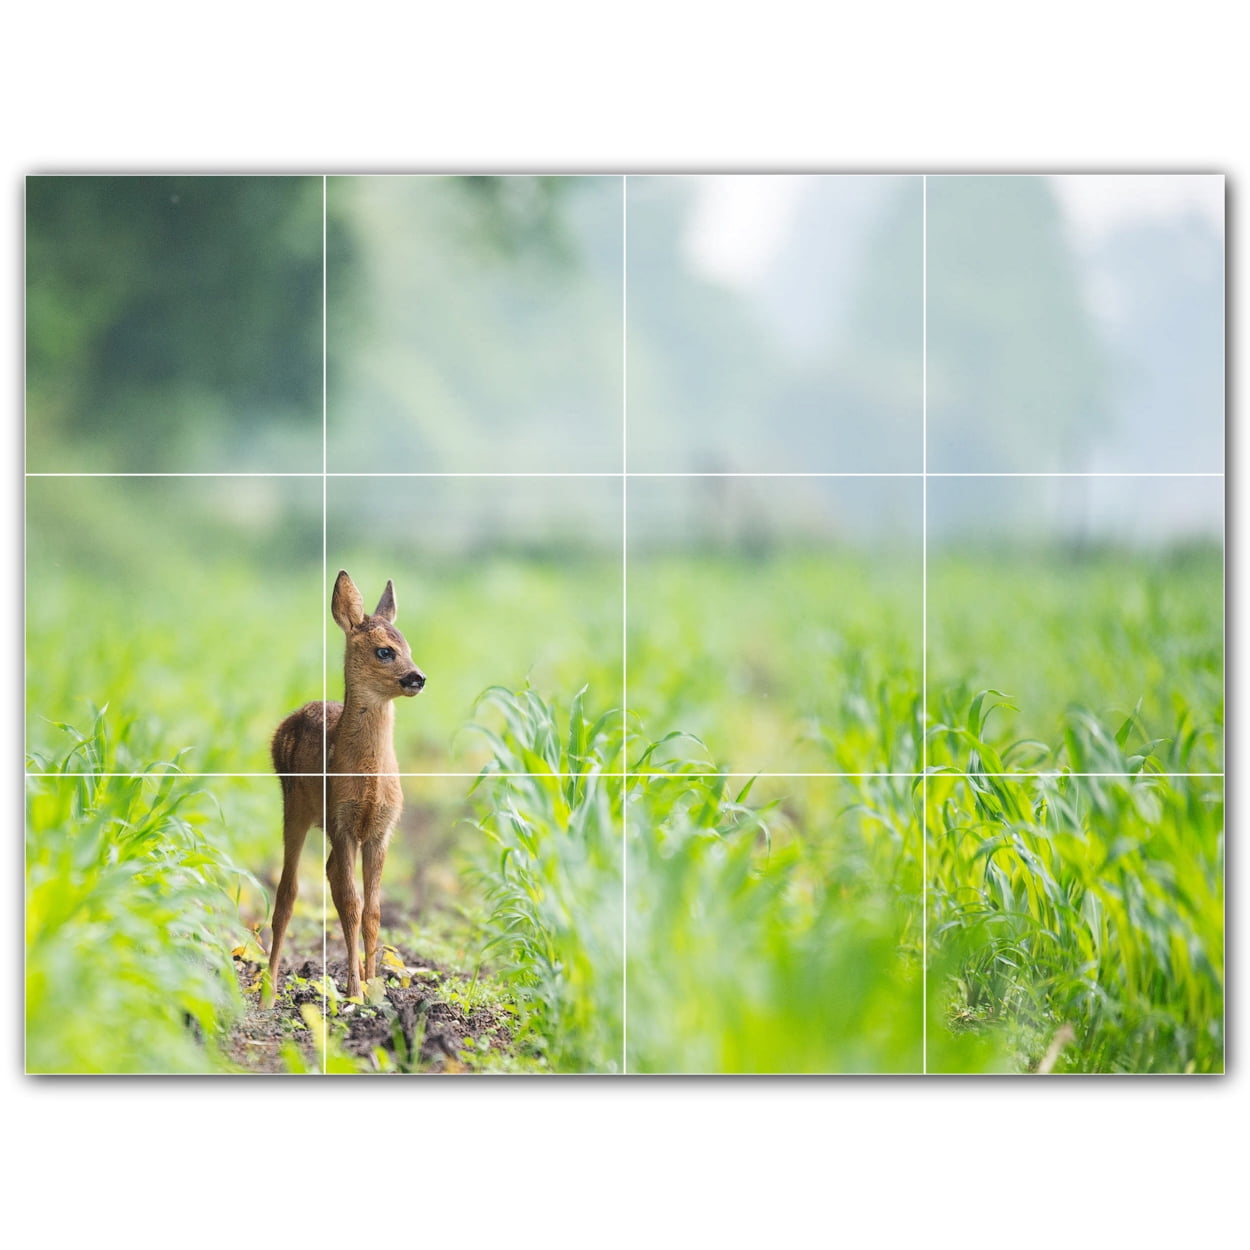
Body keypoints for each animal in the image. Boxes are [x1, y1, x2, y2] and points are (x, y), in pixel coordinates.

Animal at [265, 570, 426, 1004]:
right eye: (385, 651)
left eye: (408, 646)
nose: (417, 677)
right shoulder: (341, 822)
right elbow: (351, 905)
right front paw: (354, 990)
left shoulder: (381, 830)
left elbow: (373, 911)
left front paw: (375, 988)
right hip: (295, 807)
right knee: (288, 892)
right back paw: (268, 990)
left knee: (329, 877)